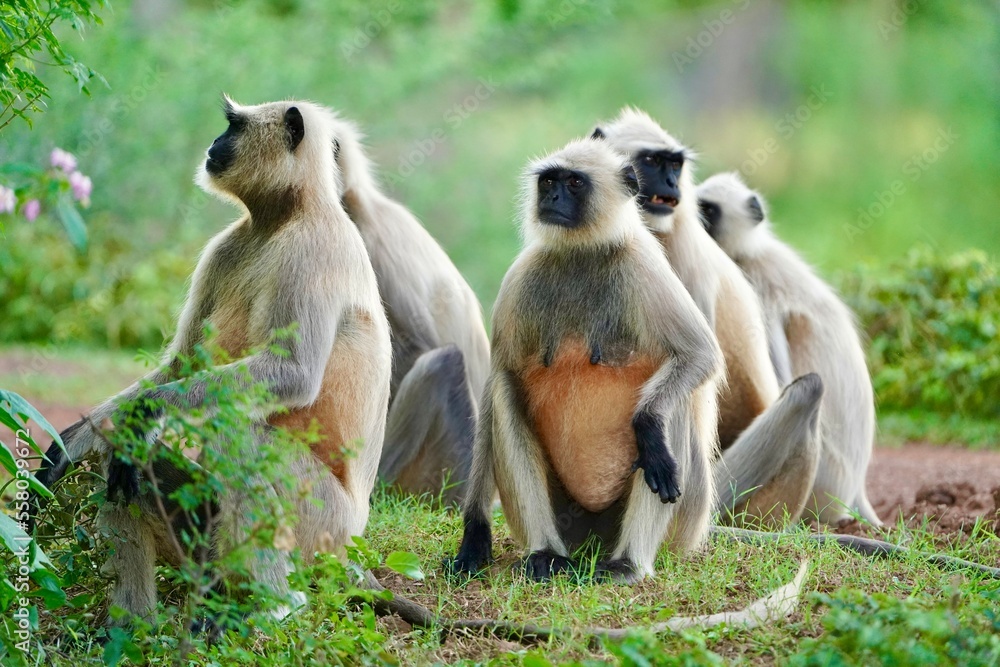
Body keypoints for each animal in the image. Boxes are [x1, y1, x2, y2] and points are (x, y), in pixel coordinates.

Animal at [33, 98, 393, 623]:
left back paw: (275, 604)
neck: (283, 216)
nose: (213, 144)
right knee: (125, 466)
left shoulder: (313, 249)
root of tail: (355, 539)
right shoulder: (225, 247)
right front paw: (71, 443)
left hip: (324, 525)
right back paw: (137, 624)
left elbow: (294, 375)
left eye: (233, 126)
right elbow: (181, 366)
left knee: (239, 436)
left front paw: (144, 414)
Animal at [448, 137, 724, 583]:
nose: (552, 198)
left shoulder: (644, 269)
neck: (582, 252)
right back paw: (546, 554)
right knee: (505, 393)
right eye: (549, 182)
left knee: (672, 412)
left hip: (687, 520)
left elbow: (699, 355)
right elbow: (498, 381)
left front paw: (648, 427)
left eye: (574, 183)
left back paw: (627, 563)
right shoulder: (519, 278)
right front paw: (474, 536)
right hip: (570, 520)